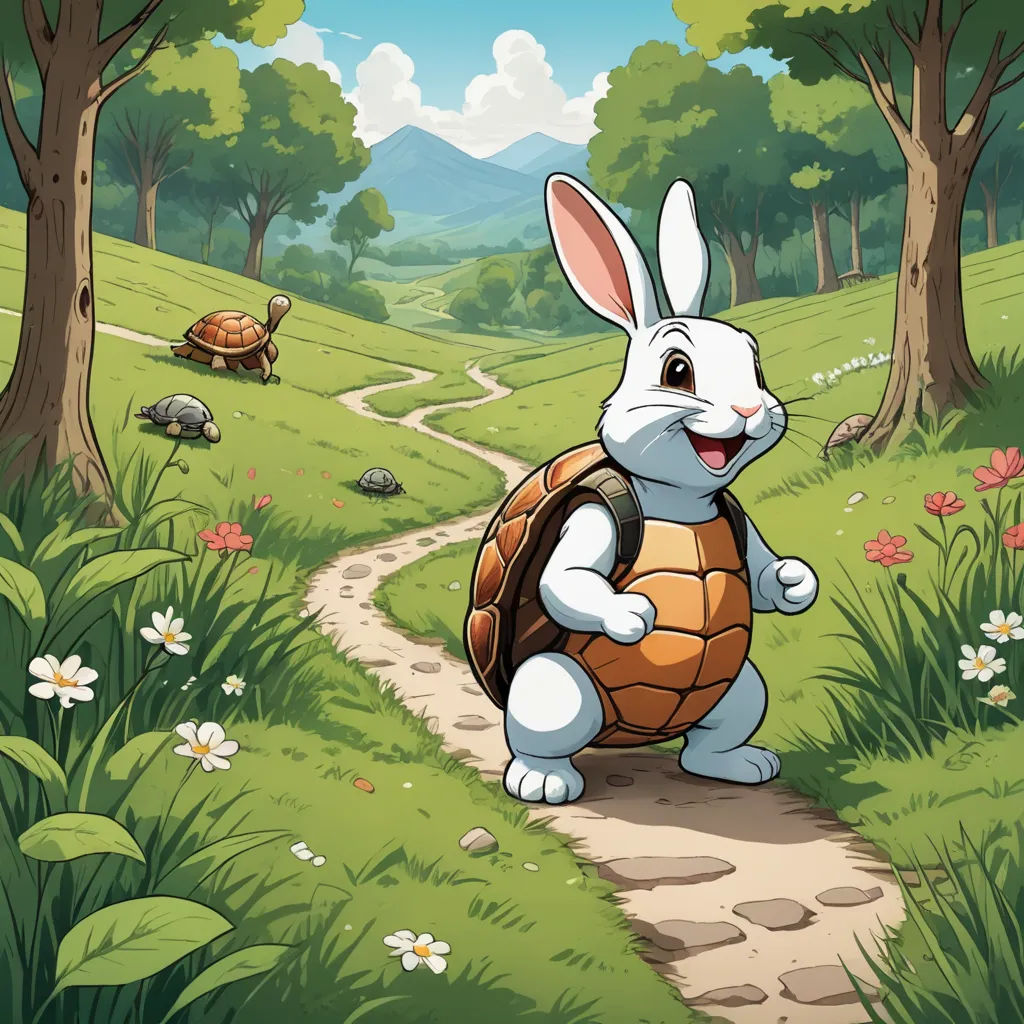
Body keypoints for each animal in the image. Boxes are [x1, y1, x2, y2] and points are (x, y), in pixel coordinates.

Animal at [502, 173, 818, 805]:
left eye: (756, 367)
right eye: (677, 371)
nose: (750, 409)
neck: (676, 499)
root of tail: (629, 737)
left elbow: (764, 578)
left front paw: (796, 581)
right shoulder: (596, 513)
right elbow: (564, 579)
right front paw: (631, 613)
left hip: (738, 686)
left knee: (715, 734)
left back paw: (739, 764)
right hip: (556, 688)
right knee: (544, 729)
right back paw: (543, 780)